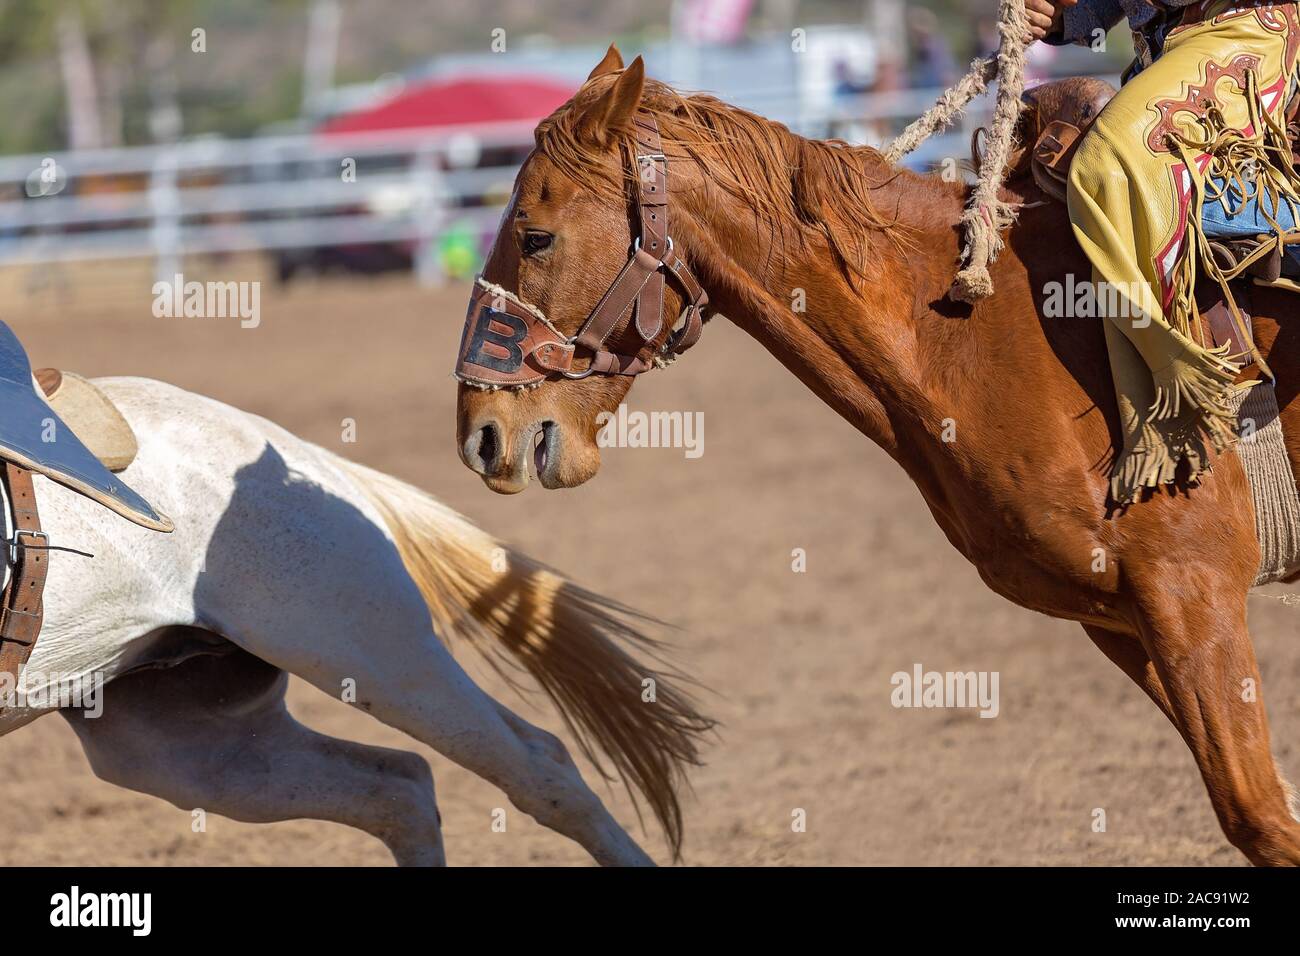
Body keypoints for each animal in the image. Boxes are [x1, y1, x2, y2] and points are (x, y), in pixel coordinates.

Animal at [454, 45, 1300, 865]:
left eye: (534, 235)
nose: (480, 432)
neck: (975, 330)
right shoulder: (1121, 621)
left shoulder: (1189, 595)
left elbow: (1260, 815)